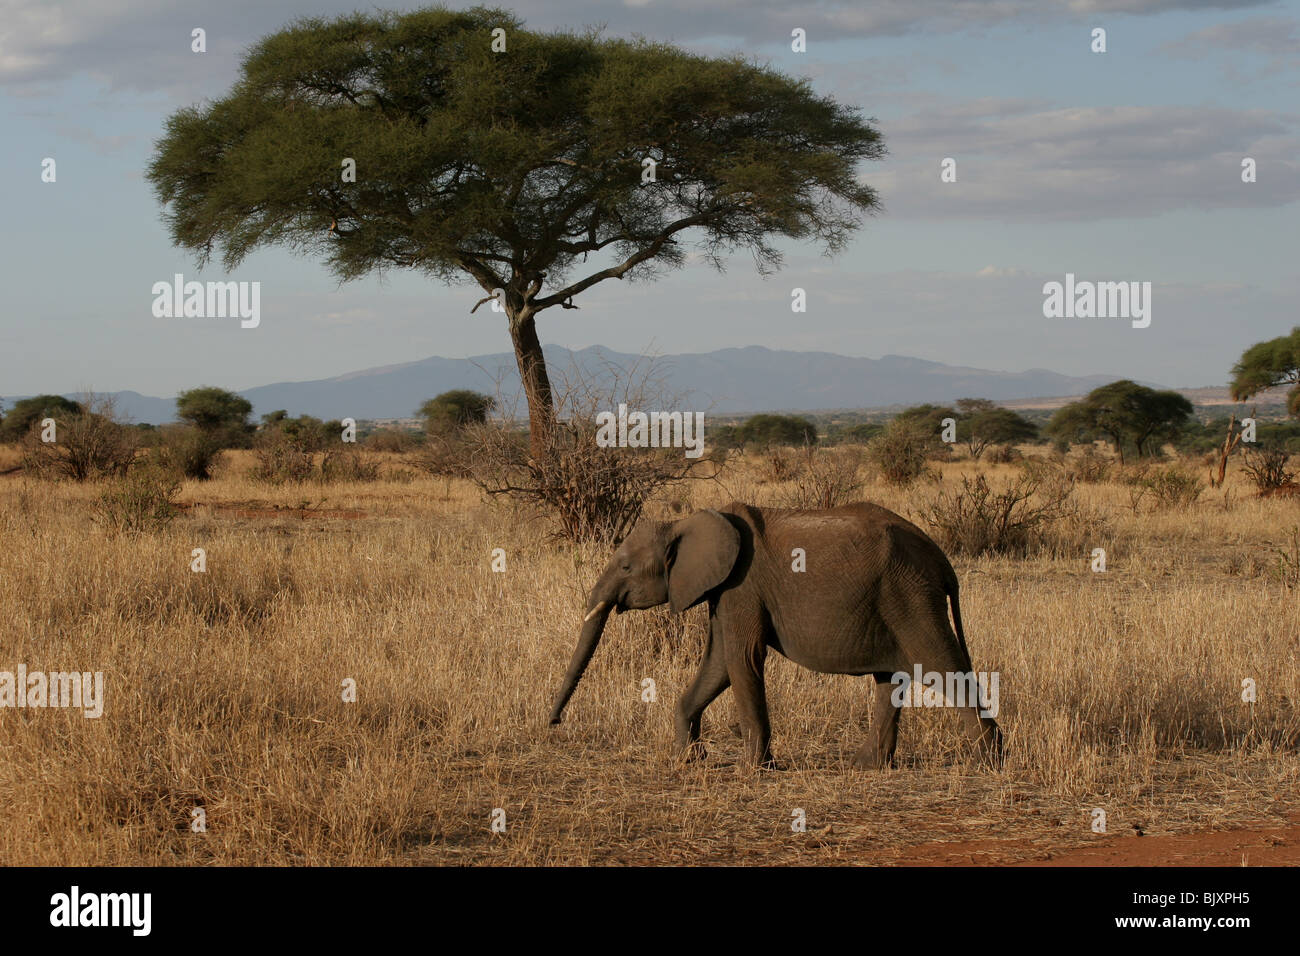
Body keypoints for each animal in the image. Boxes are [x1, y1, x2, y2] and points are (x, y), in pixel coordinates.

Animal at [548, 501, 1003, 770]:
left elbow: (742, 659)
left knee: (942, 666)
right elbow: (718, 664)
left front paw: (754, 769)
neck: (687, 521)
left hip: (910, 596)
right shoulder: (723, 590)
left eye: (625, 567)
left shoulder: (742, 586)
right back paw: (867, 766)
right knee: (889, 680)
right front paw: (689, 759)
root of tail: (942, 561)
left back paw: (989, 761)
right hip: (894, 598)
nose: (554, 724)